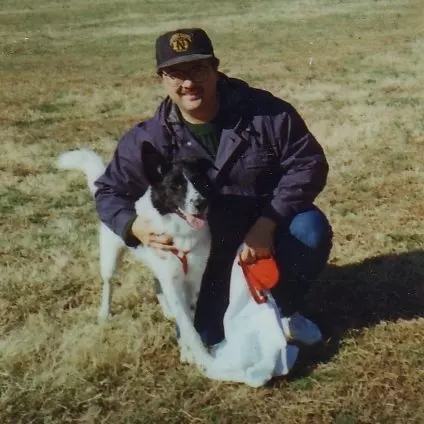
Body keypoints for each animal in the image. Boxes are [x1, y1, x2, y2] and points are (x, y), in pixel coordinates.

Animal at [57, 145, 215, 372]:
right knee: (108, 283)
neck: (181, 233)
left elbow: (189, 318)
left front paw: (189, 350)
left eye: (199, 181)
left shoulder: (193, 280)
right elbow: (186, 324)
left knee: (156, 283)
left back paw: (167, 309)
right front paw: (199, 357)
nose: (201, 204)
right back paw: (104, 313)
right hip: (110, 260)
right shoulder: (173, 280)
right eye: (175, 186)